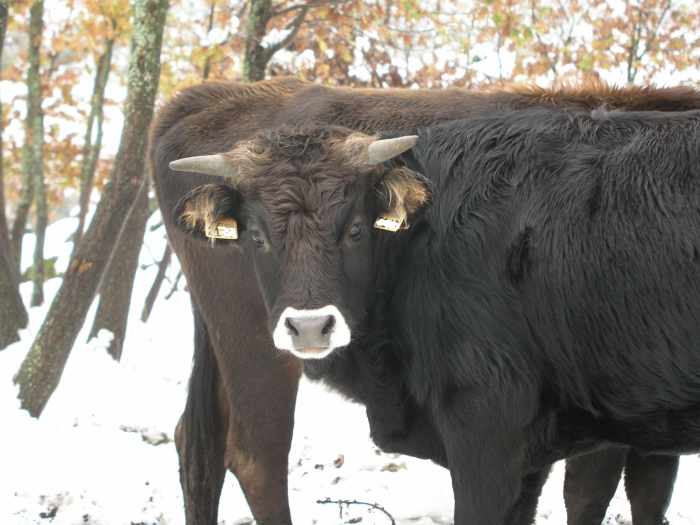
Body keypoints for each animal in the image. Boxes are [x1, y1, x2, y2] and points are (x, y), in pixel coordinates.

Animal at [151, 78, 695, 524]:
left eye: (355, 230)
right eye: (258, 237)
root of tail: (211, 98)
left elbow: (638, 495)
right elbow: (589, 495)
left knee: (197, 445)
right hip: (258, 350)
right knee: (256, 458)